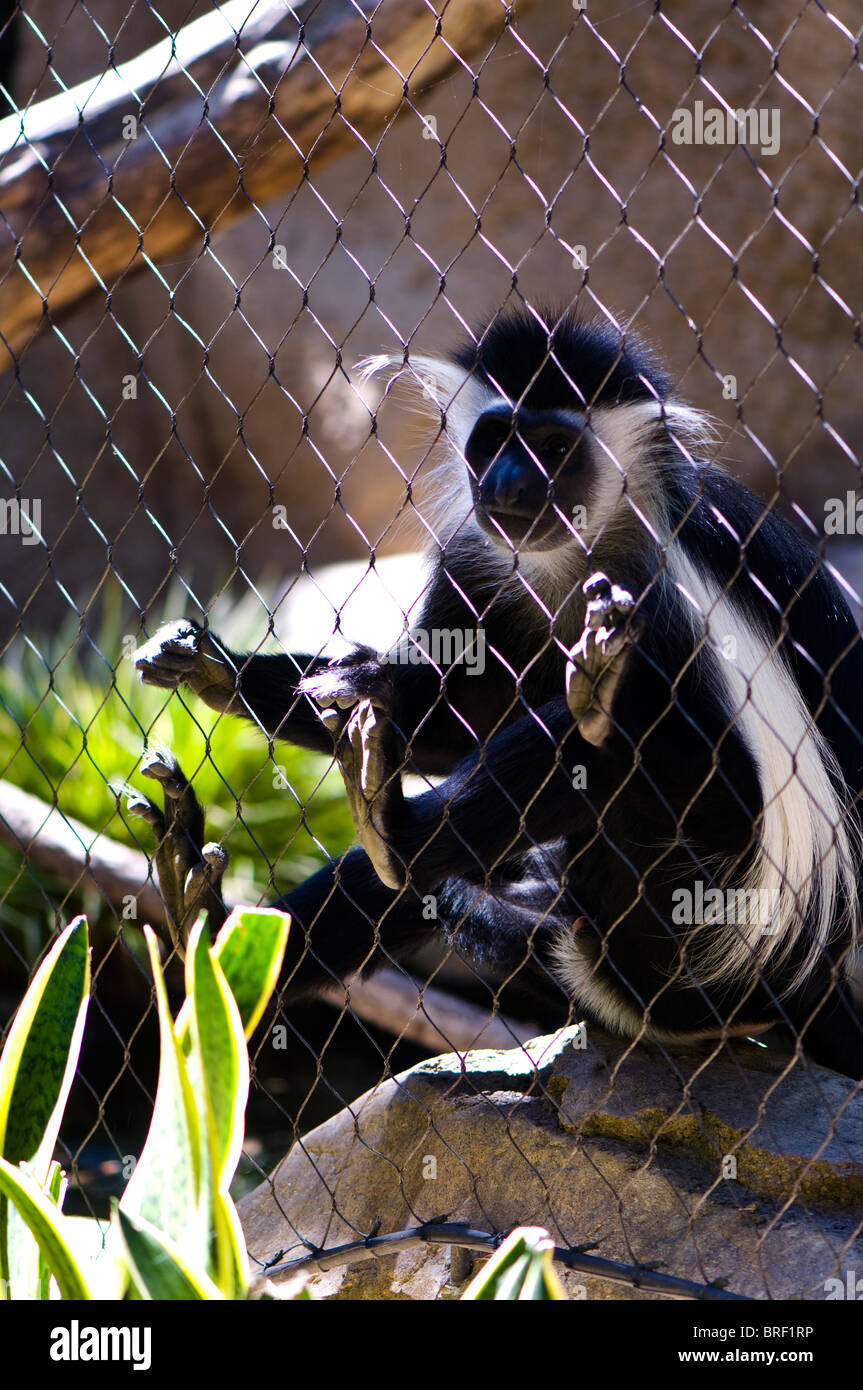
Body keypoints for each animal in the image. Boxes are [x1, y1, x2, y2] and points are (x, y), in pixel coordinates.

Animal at [127, 305, 863, 1079]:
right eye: (496, 439)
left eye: (553, 446)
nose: (506, 485)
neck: (576, 554)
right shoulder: (477, 564)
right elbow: (456, 715)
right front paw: (223, 670)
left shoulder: (668, 593)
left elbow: (719, 774)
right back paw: (210, 916)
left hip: (703, 925)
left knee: (609, 764)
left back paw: (416, 823)